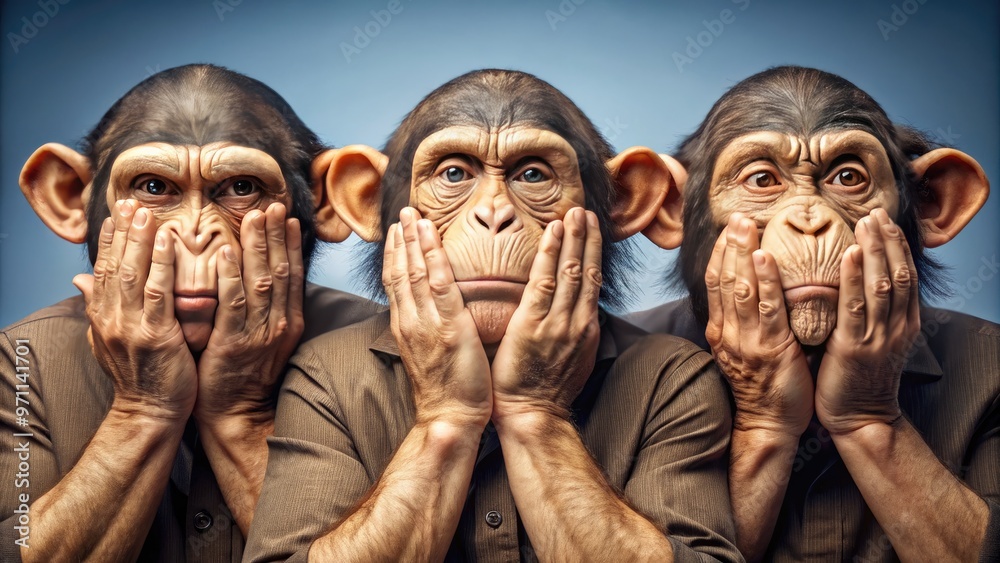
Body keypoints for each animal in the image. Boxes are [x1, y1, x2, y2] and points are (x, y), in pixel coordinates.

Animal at [0, 64, 379, 562]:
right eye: (154, 187)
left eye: (241, 188)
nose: (195, 238)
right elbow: (16, 529)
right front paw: (151, 379)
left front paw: (235, 378)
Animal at [244, 69, 742, 562]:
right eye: (454, 173)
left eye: (532, 174)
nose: (494, 216)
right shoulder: (305, 380)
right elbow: (288, 549)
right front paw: (446, 362)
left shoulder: (692, 382)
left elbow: (697, 546)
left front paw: (530, 381)